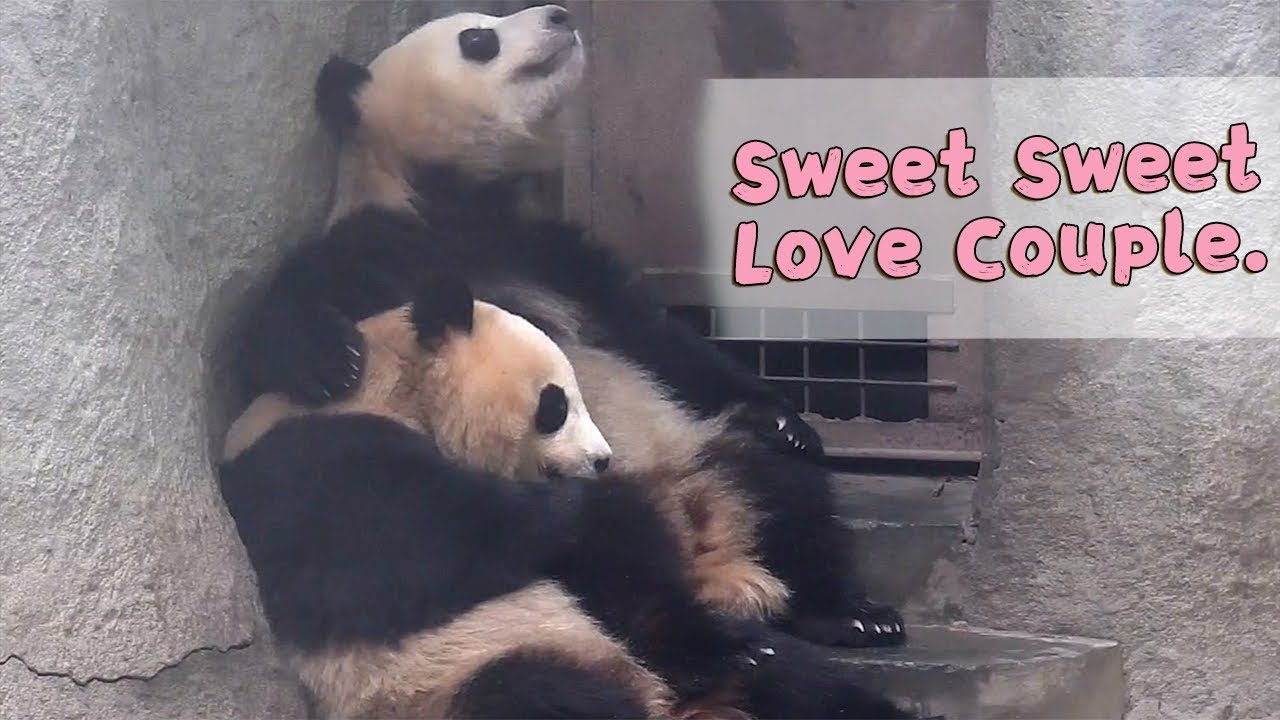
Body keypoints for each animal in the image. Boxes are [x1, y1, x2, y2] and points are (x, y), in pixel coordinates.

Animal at [221, 276, 915, 720]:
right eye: (556, 403)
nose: (603, 460)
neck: (394, 390)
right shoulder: (315, 465)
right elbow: (423, 545)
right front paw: (609, 512)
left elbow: (616, 580)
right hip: (451, 680)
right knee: (536, 695)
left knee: (805, 672)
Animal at [233, 3, 907, 650]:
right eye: (478, 40)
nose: (560, 15)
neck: (467, 206)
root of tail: (708, 552)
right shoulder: (384, 242)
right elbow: (288, 311)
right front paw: (328, 359)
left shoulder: (560, 256)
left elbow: (654, 336)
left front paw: (783, 416)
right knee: (607, 561)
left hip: (698, 449)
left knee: (785, 488)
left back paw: (844, 609)